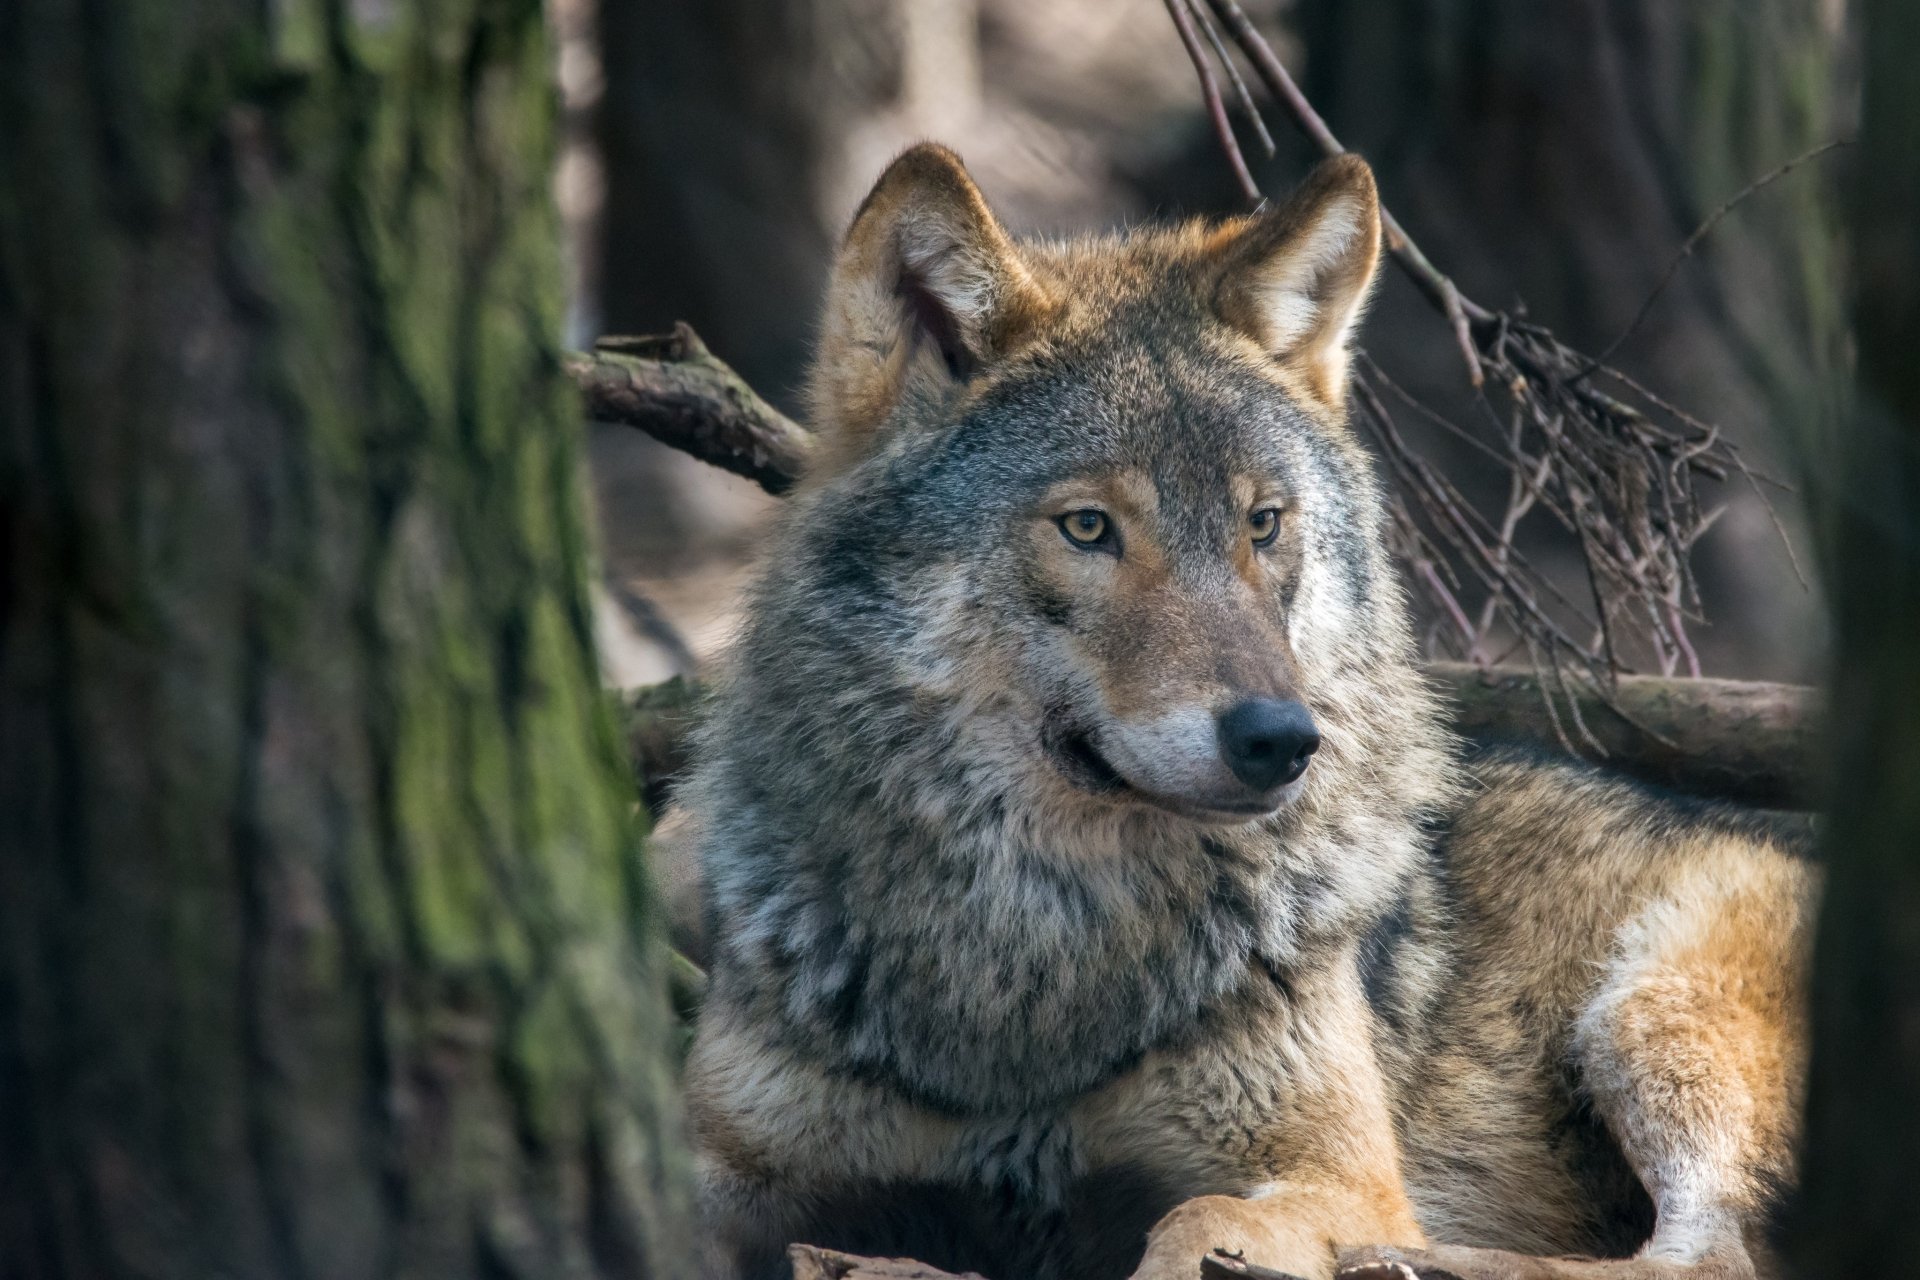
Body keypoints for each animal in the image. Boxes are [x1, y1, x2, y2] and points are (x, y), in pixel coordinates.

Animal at [679, 144, 1817, 1280]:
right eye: (1087, 527)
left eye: (1263, 523)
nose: (1281, 738)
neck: (1044, 959)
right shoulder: (726, 1165)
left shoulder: (1333, 1169)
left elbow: (1197, 1218)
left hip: (1648, 1015)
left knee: (1695, 1258)